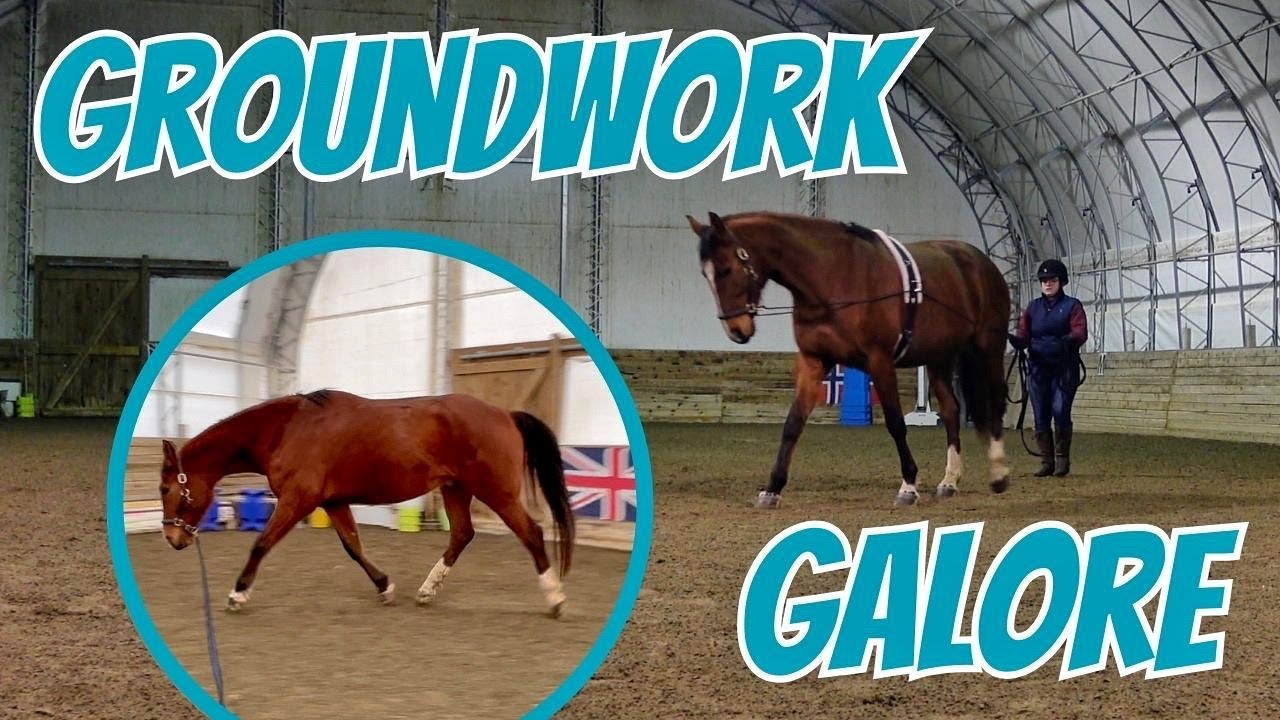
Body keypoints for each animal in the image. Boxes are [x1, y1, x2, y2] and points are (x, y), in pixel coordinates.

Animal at [156, 389, 576, 617]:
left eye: (164, 489)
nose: (174, 540)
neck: (287, 430)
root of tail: (505, 414)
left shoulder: (298, 499)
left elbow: (261, 543)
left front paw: (237, 595)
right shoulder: (334, 502)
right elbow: (353, 547)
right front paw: (385, 587)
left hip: (496, 491)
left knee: (531, 532)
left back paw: (555, 598)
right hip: (457, 488)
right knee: (462, 534)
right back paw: (426, 591)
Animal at [688, 211, 1012, 507]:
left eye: (726, 269)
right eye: (705, 274)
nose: (736, 330)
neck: (832, 278)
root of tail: (979, 261)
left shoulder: (880, 361)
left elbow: (895, 422)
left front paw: (908, 485)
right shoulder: (813, 361)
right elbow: (793, 423)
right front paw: (772, 489)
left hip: (989, 347)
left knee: (995, 399)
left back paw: (999, 474)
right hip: (940, 357)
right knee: (950, 409)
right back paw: (949, 480)